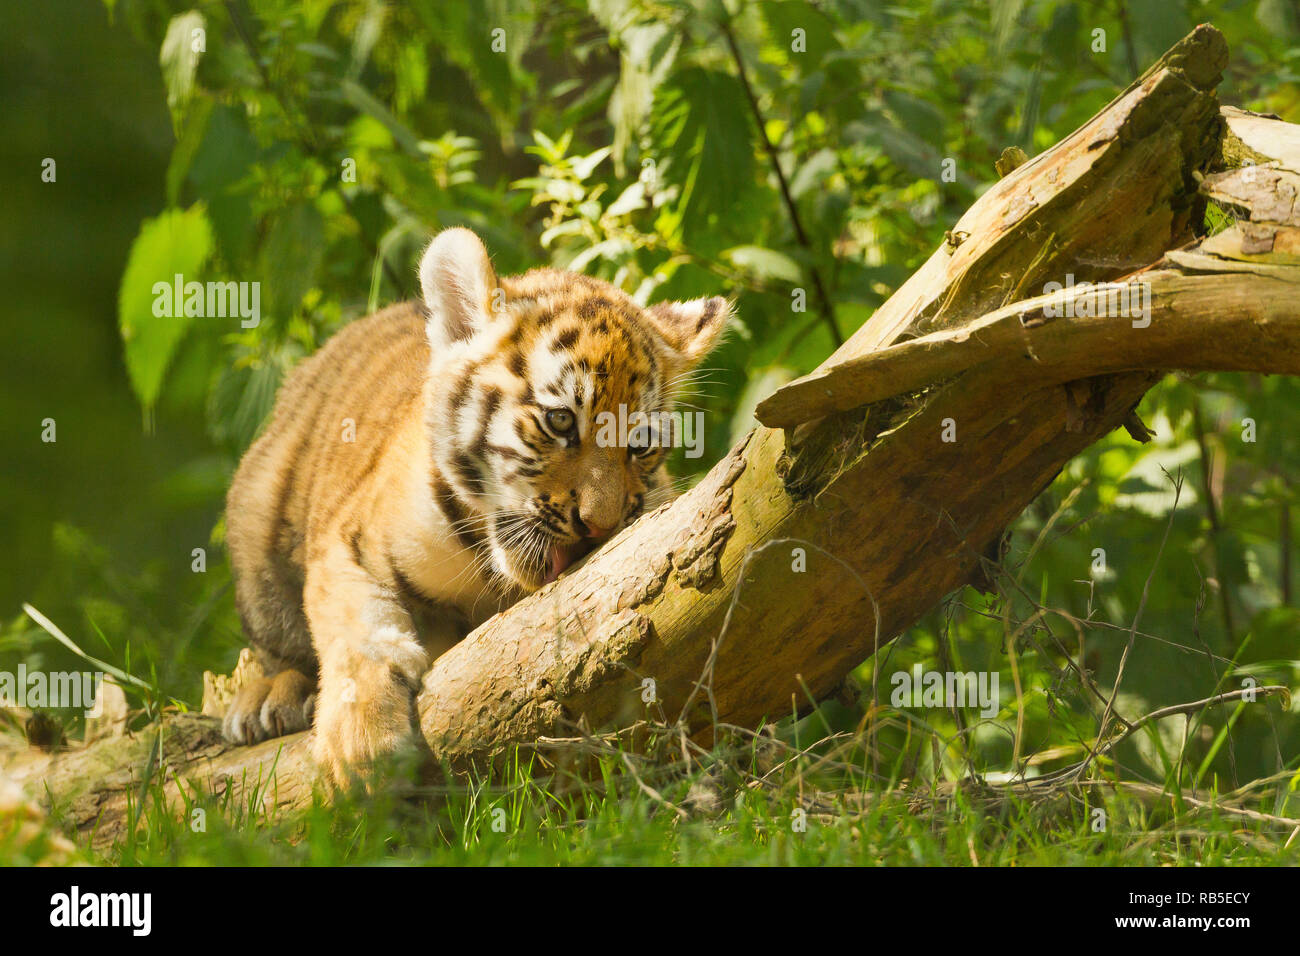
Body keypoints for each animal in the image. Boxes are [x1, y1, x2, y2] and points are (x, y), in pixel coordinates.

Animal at [220, 227, 730, 786]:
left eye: (640, 444)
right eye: (559, 420)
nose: (599, 527)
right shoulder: (348, 541)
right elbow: (356, 631)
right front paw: (362, 745)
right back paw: (271, 696)